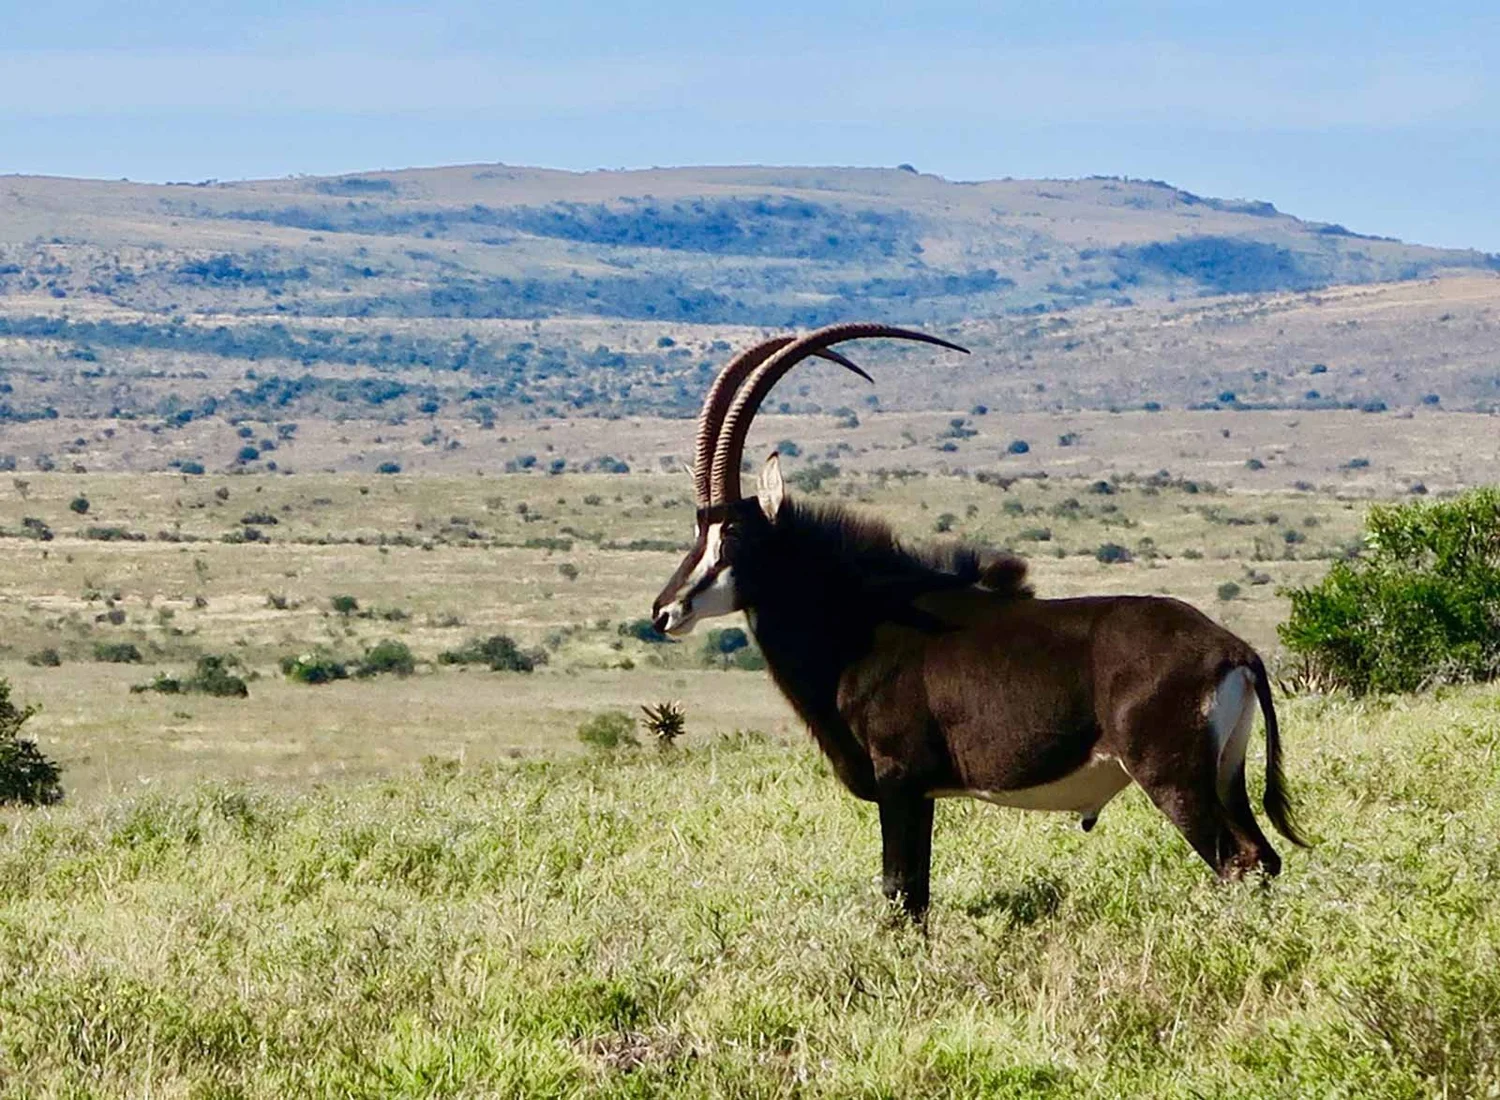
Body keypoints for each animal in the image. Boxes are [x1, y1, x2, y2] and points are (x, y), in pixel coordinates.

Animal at [652, 323, 1308, 919]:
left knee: (1234, 860)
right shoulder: (918, 793)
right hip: (1226, 776)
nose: (665, 611)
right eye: (698, 530)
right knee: (1263, 858)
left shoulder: (899, 780)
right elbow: (915, 891)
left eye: (734, 535)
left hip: (1174, 779)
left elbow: (901, 893)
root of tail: (1234, 651)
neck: (863, 621)